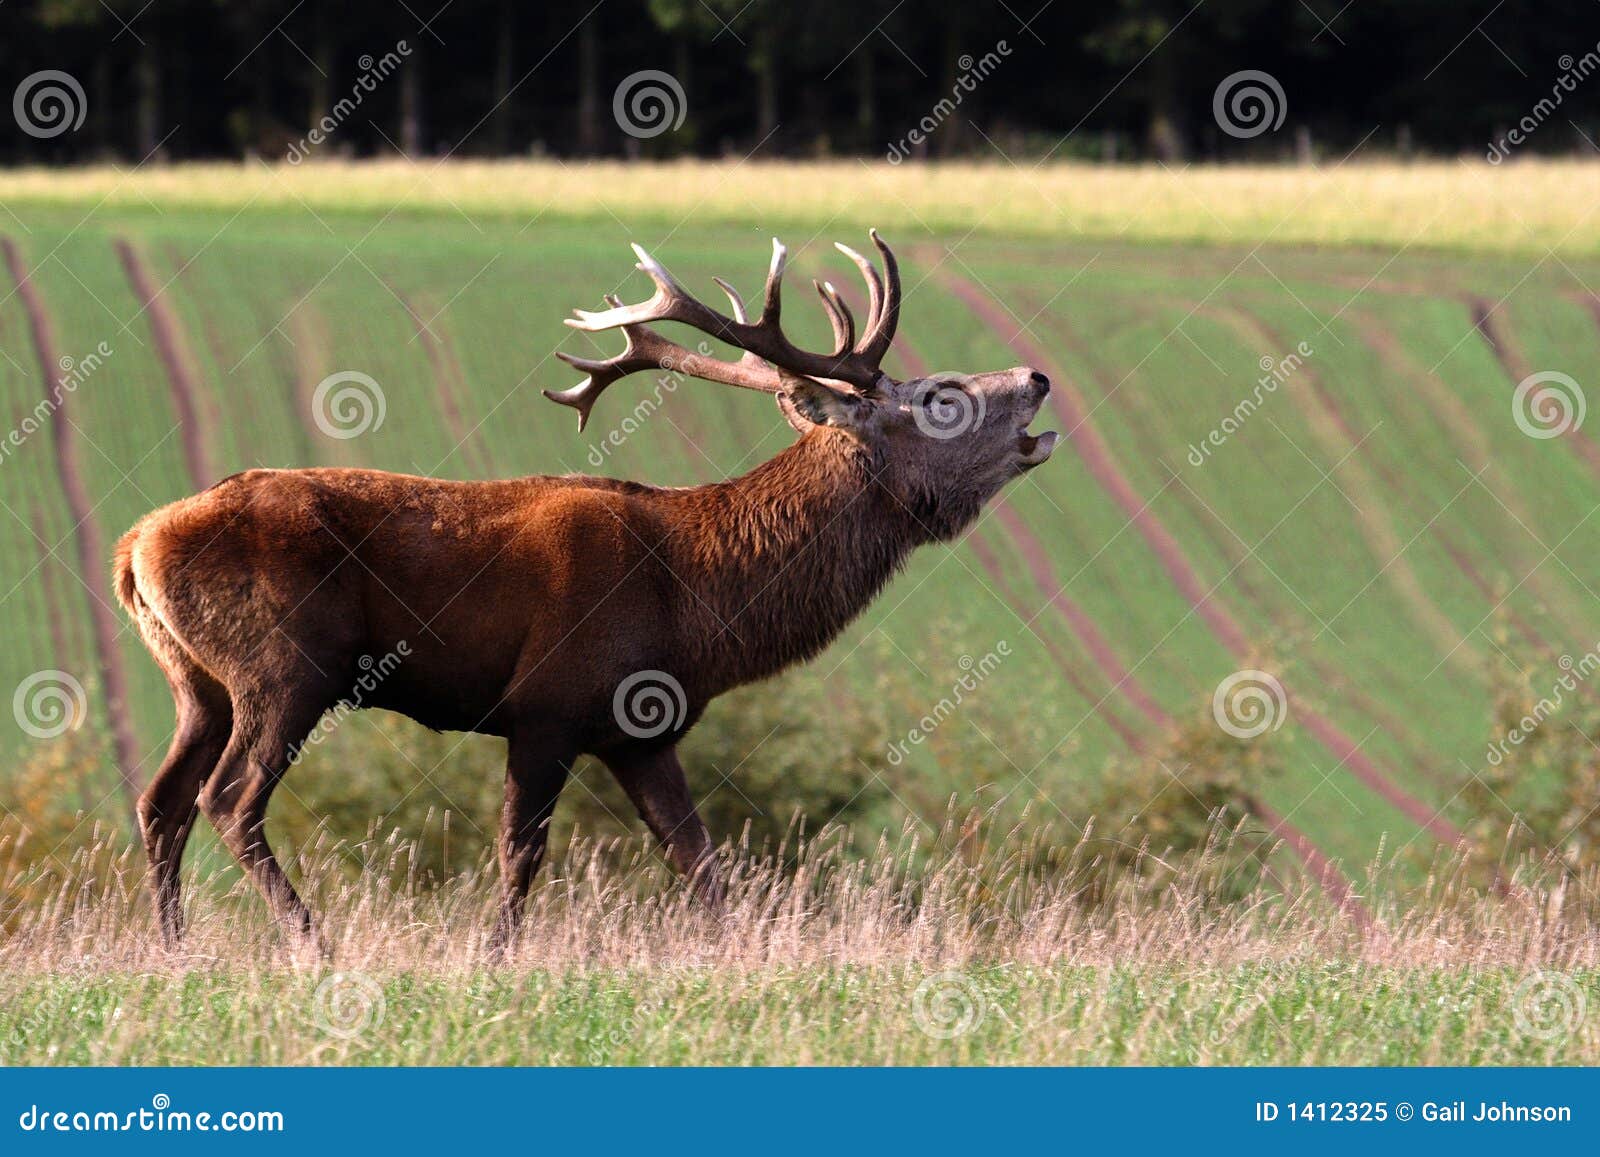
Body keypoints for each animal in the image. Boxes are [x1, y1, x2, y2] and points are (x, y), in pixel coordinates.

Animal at [112, 232, 1058, 952]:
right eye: (938, 396)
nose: (1037, 377)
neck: (697, 601)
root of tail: (133, 545)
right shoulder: (547, 703)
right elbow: (520, 853)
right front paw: (493, 958)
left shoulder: (643, 732)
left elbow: (700, 861)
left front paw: (742, 955)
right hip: (285, 663)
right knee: (228, 797)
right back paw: (315, 942)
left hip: (198, 683)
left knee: (162, 800)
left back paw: (175, 947)